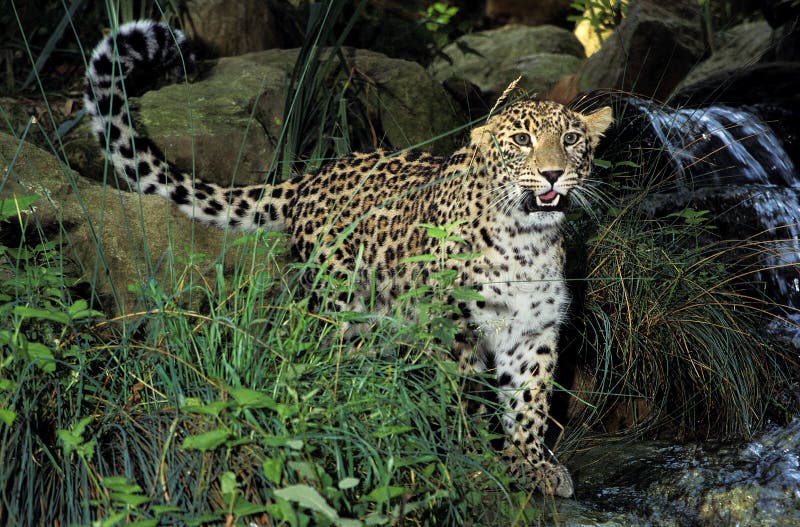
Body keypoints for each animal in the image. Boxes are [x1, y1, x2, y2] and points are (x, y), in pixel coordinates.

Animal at [84, 20, 613, 498]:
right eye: (522, 141)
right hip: (338, 310)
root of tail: (309, 178)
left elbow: (529, 403)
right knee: (317, 364)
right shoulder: (453, 325)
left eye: (570, 139)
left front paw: (532, 464)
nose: (552, 174)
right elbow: (469, 400)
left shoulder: (533, 331)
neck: (527, 238)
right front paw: (479, 461)